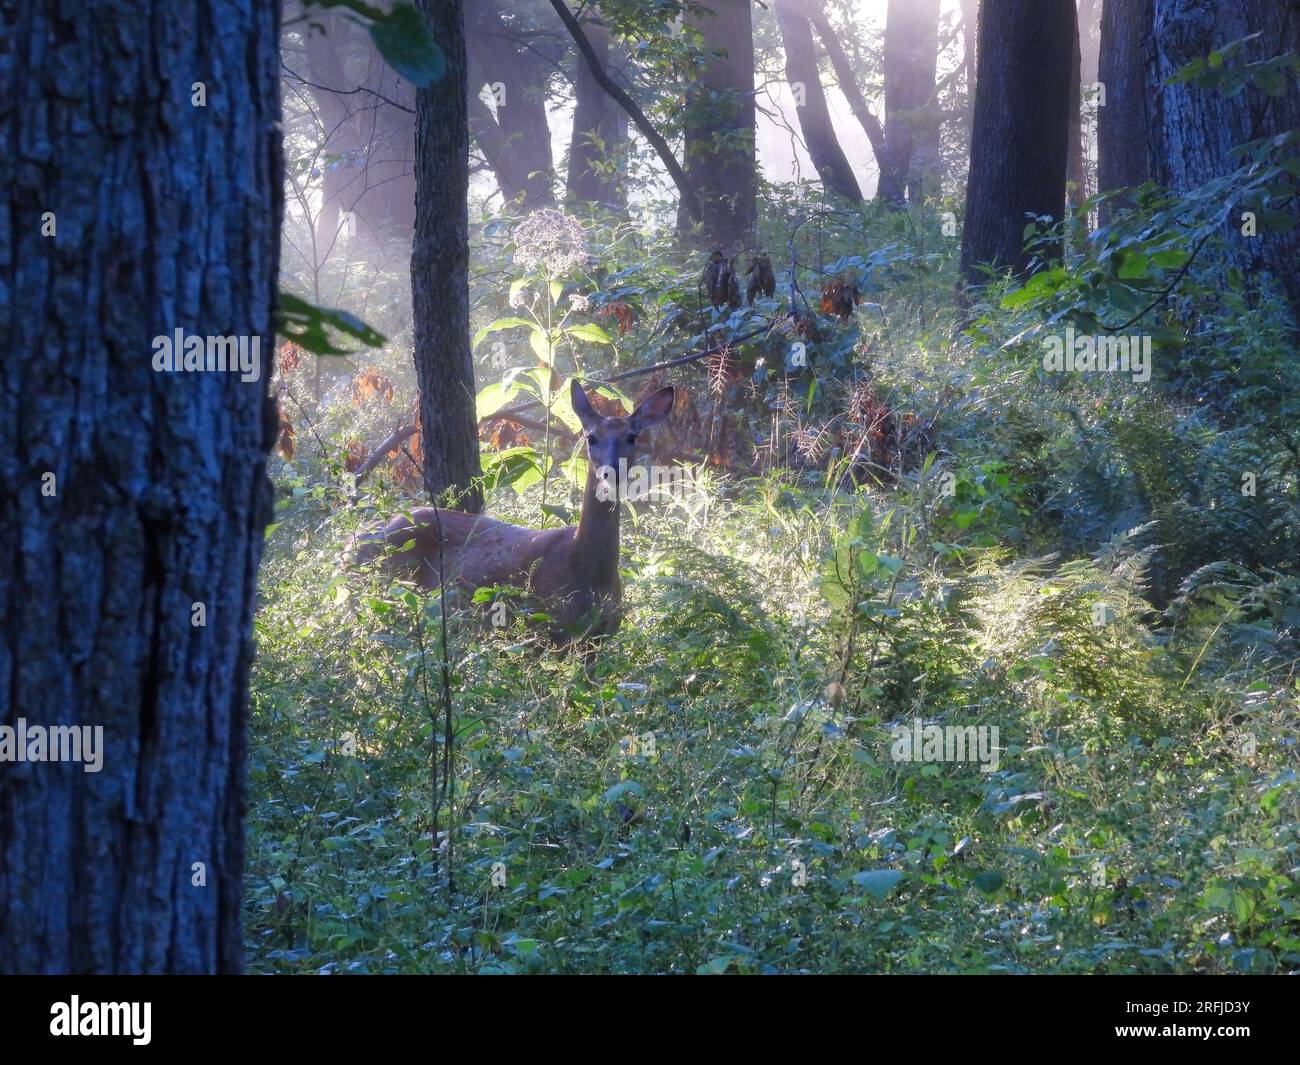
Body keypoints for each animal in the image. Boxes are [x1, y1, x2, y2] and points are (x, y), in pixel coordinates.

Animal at [350, 380, 675, 641]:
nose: (610, 471)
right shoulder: (548, 628)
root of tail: (352, 542)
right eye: (591, 437)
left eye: (632, 437)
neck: (587, 570)